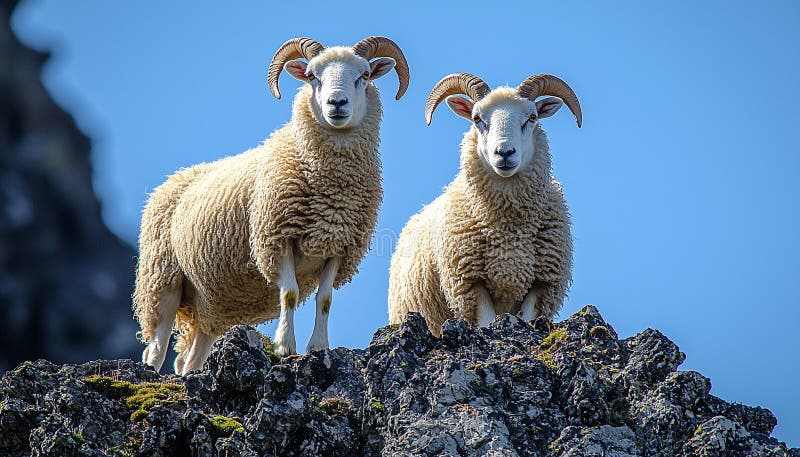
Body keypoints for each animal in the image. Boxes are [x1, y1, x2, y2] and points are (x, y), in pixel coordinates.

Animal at [134, 36, 409, 374]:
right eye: (312, 76)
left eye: (364, 75)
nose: (337, 103)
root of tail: (173, 179)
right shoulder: (277, 238)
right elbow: (289, 295)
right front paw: (285, 346)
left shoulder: (339, 248)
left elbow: (324, 300)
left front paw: (319, 347)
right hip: (162, 278)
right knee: (156, 347)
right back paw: (150, 374)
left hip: (211, 307)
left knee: (190, 357)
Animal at [388, 72, 581, 335]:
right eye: (477, 118)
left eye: (532, 118)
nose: (505, 152)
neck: (508, 229)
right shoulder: (469, 283)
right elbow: (487, 322)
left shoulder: (541, 284)